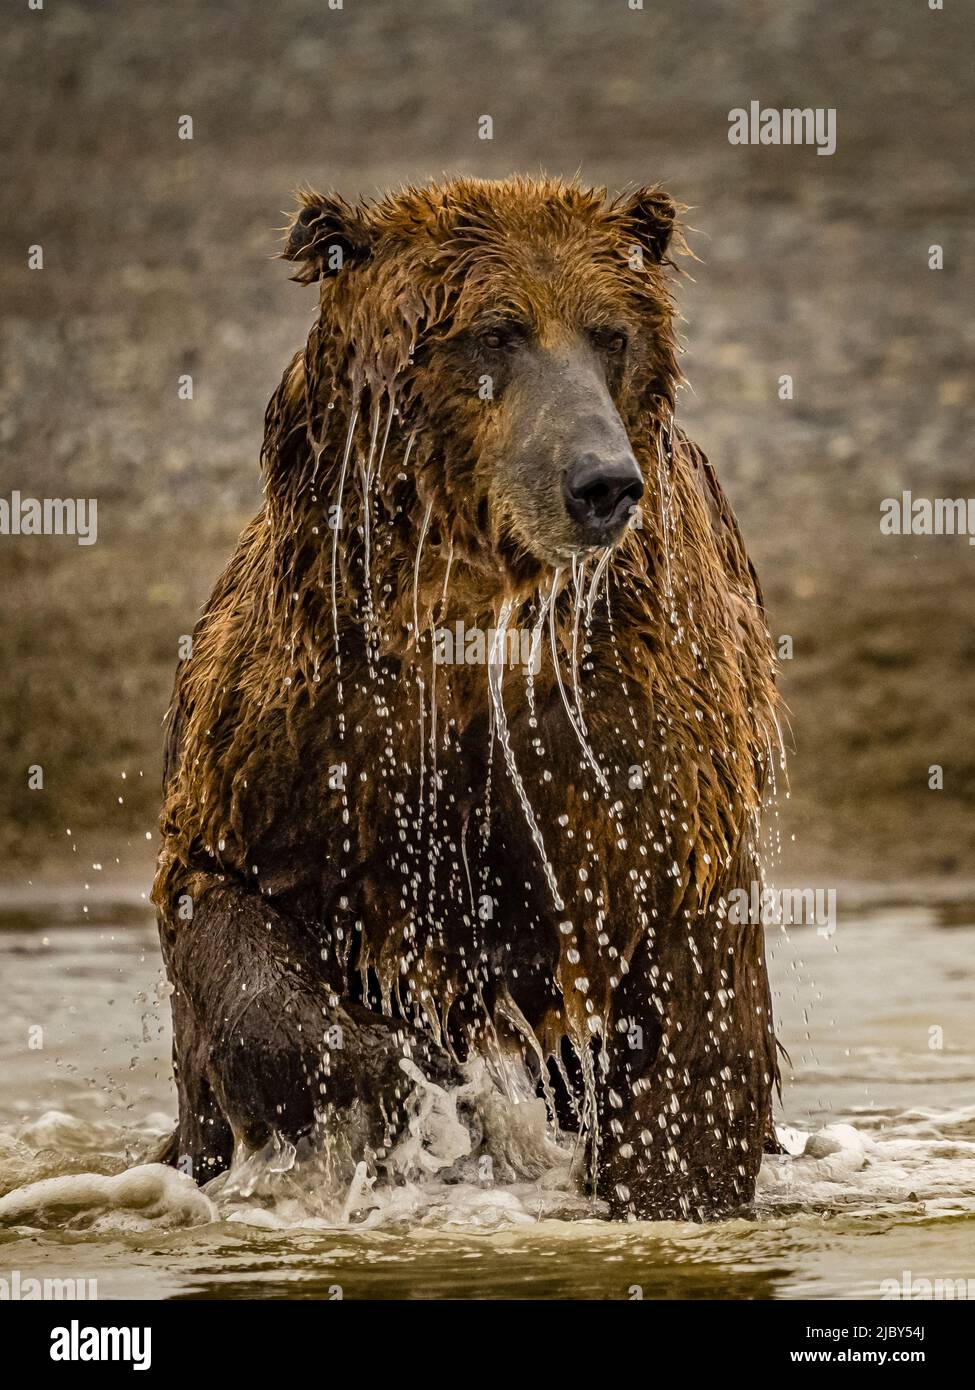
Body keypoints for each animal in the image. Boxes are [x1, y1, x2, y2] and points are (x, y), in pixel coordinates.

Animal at [152, 176, 782, 1221]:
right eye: (496, 333)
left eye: (610, 333)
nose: (600, 483)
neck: (473, 618)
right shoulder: (291, 728)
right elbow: (222, 902)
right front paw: (400, 1071)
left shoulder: (633, 742)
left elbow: (687, 994)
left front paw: (670, 1188)